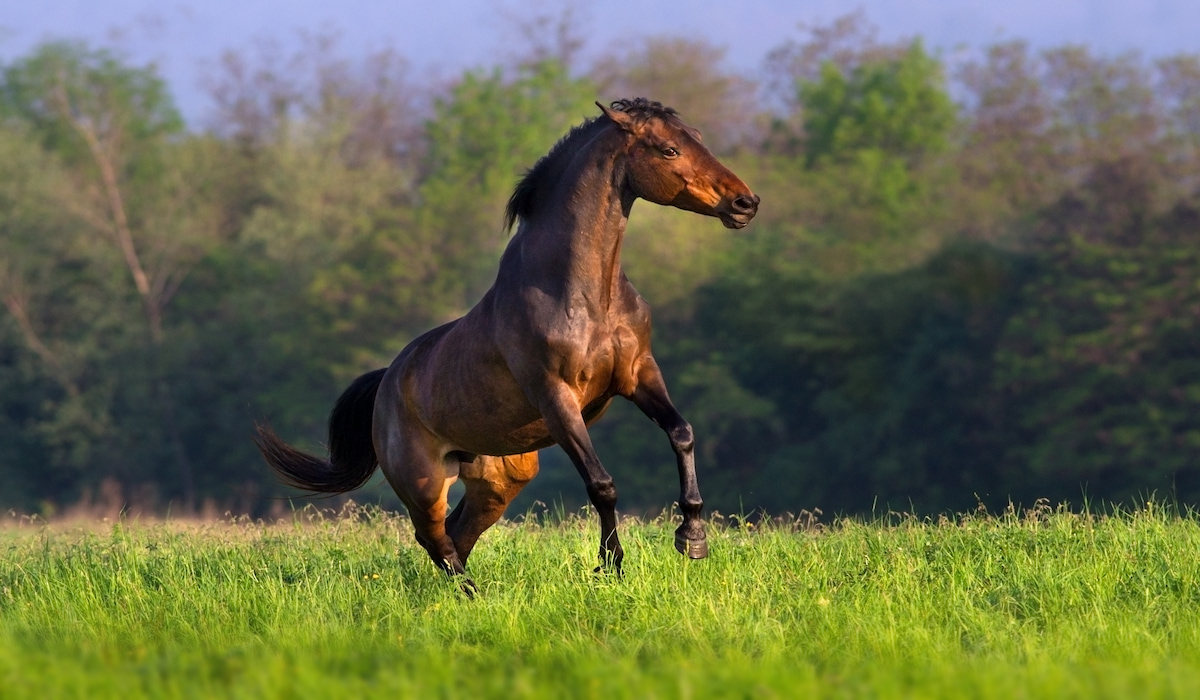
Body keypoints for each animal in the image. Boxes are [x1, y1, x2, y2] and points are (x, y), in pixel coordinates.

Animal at [255, 98, 759, 590]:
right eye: (669, 150)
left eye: (697, 138)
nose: (745, 202)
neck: (583, 295)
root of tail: (387, 383)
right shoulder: (556, 398)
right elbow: (602, 485)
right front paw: (611, 568)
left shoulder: (639, 374)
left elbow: (682, 433)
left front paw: (692, 537)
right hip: (424, 482)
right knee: (434, 537)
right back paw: (472, 596)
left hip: (500, 480)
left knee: (458, 532)